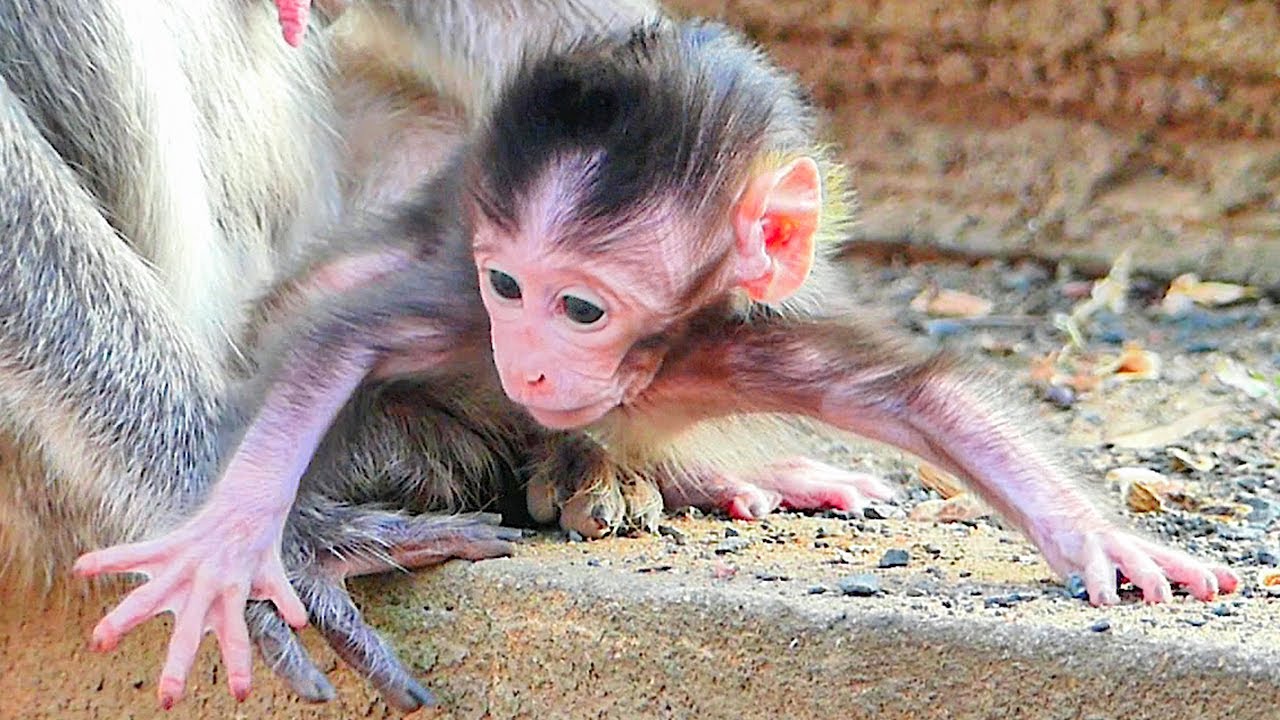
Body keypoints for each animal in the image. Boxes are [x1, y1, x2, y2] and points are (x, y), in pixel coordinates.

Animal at [74, 16, 1242, 712]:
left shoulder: (745, 336)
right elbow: (336, 338)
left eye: (581, 307)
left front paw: (1105, 543)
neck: (646, 366)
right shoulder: (457, 317)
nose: (531, 368)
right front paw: (228, 547)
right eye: (506, 287)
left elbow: (922, 399)